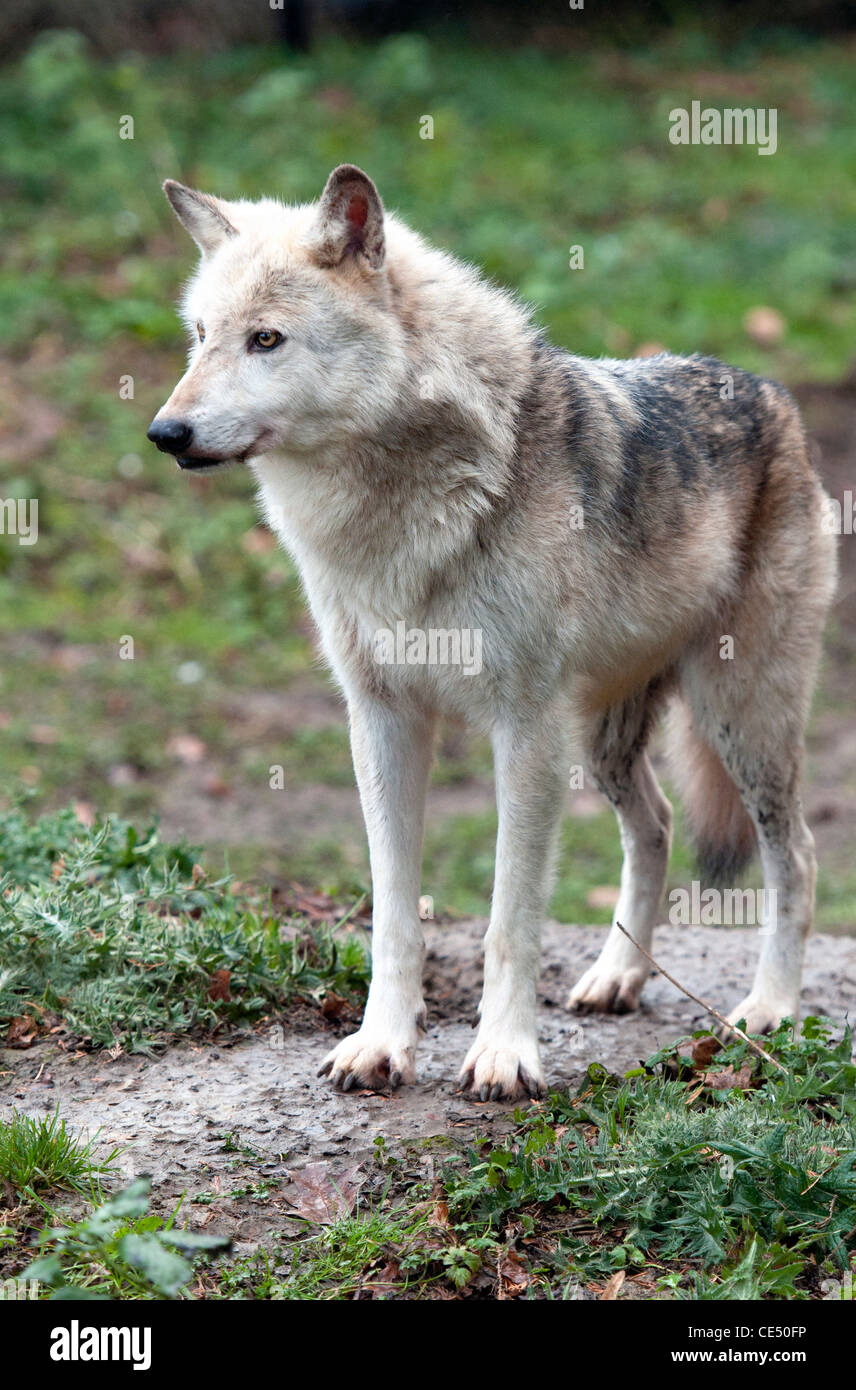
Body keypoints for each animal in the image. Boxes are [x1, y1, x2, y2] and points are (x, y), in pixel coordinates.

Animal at [148, 164, 837, 1100]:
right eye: (199, 336)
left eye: (266, 339)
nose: (164, 433)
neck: (395, 510)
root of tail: (772, 392)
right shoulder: (383, 721)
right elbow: (393, 914)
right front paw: (380, 1046)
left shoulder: (526, 731)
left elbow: (512, 919)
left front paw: (505, 1057)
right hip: (607, 741)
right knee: (656, 824)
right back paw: (618, 977)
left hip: (739, 719)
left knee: (794, 854)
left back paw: (770, 1011)